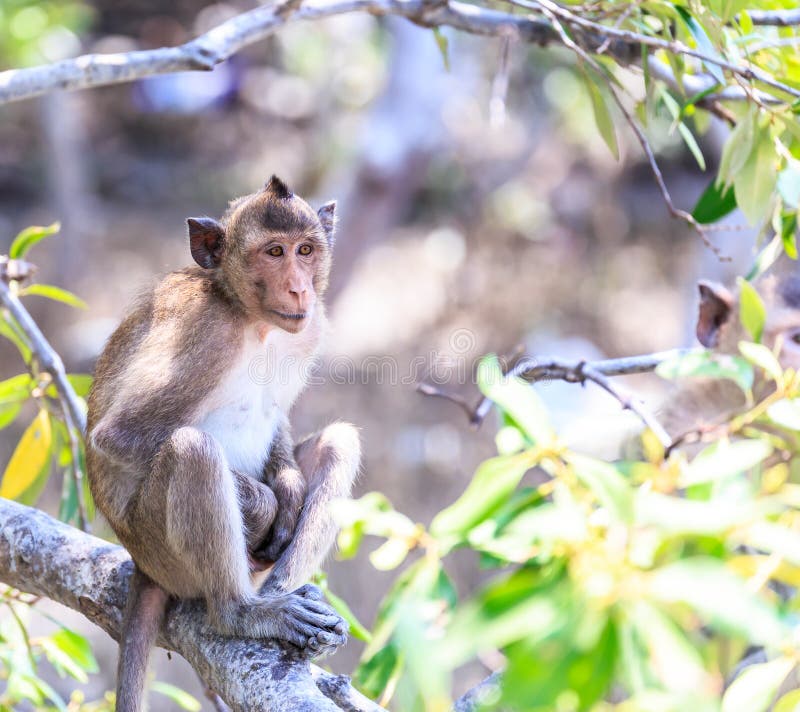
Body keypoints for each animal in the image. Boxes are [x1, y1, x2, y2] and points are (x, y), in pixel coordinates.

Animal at [85, 175, 361, 712]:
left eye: (305, 250)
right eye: (274, 252)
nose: (298, 287)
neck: (253, 320)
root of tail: (142, 565)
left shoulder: (309, 327)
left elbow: (281, 420)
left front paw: (290, 492)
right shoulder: (204, 335)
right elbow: (119, 435)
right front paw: (267, 506)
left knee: (340, 442)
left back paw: (286, 598)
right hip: (162, 551)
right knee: (192, 451)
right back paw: (243, 613)